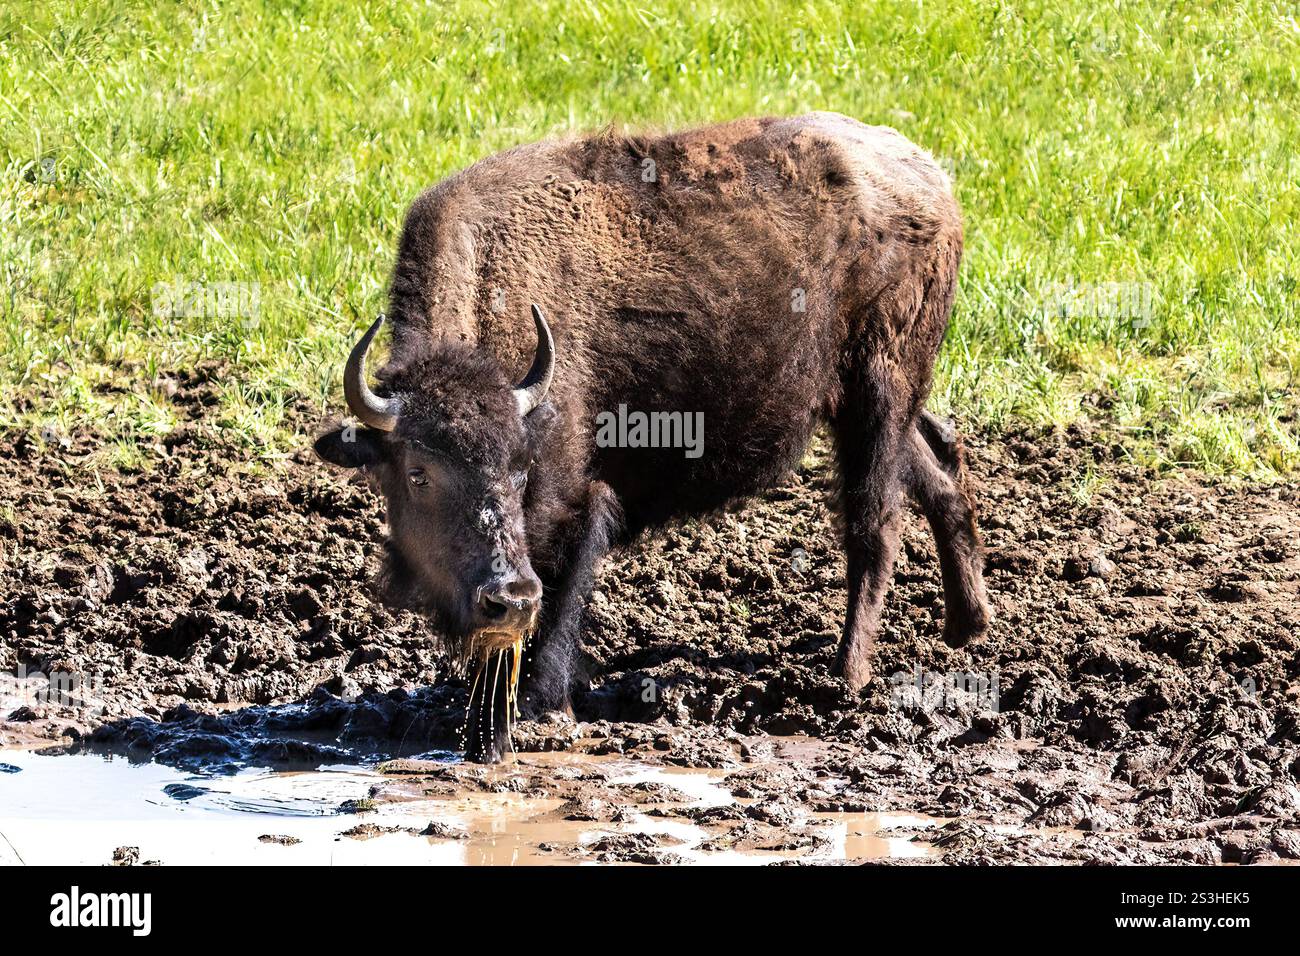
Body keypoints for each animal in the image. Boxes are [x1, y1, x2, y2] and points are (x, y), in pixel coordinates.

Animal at [315, 112, 990, 761]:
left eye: (520, 467)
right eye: (418, 472)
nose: (510, 596)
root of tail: (929, 176)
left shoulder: (576, 505)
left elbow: (558, 605)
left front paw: (537, 710)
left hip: (878, 390)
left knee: (874, 520)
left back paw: (847, 675)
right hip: (870, 406)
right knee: (939, 472)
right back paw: (969, 625)